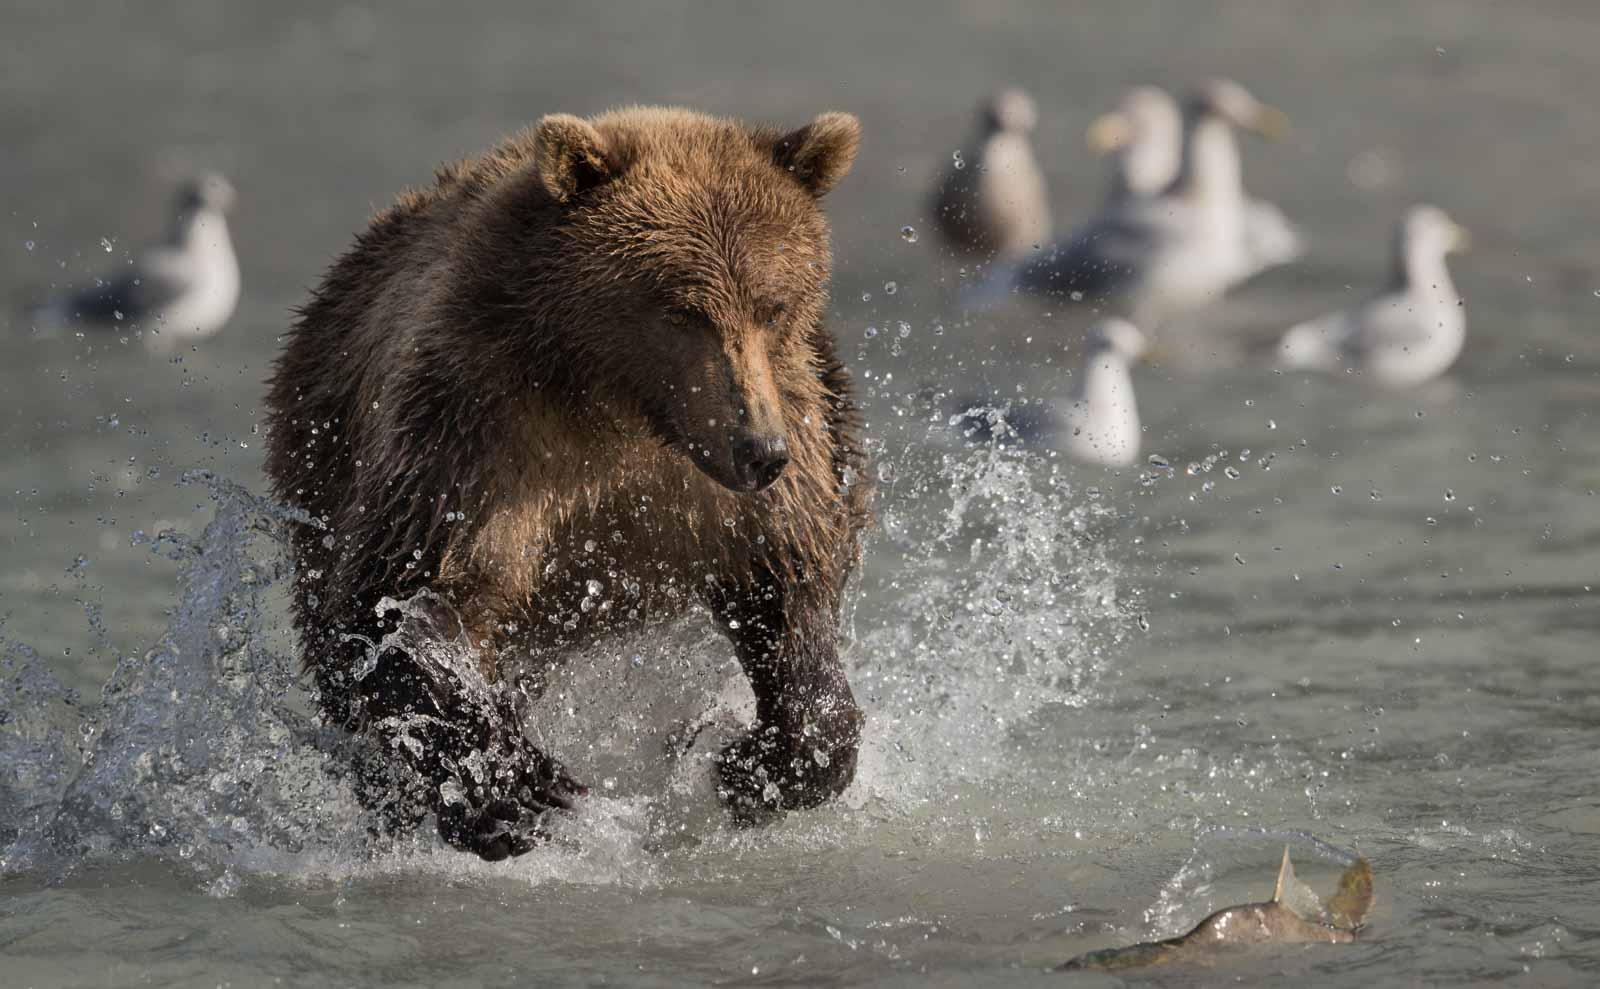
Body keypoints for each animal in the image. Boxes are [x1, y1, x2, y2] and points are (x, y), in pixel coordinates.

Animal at [263, 106, 871, 860]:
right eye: (684, 309)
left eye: (774, 304)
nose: (759, 449)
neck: (623, 405)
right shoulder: (473, 434)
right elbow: (391, 603)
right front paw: (515, 788)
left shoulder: (763, 454)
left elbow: (789, 582)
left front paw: (750, 766)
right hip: (321, 459)